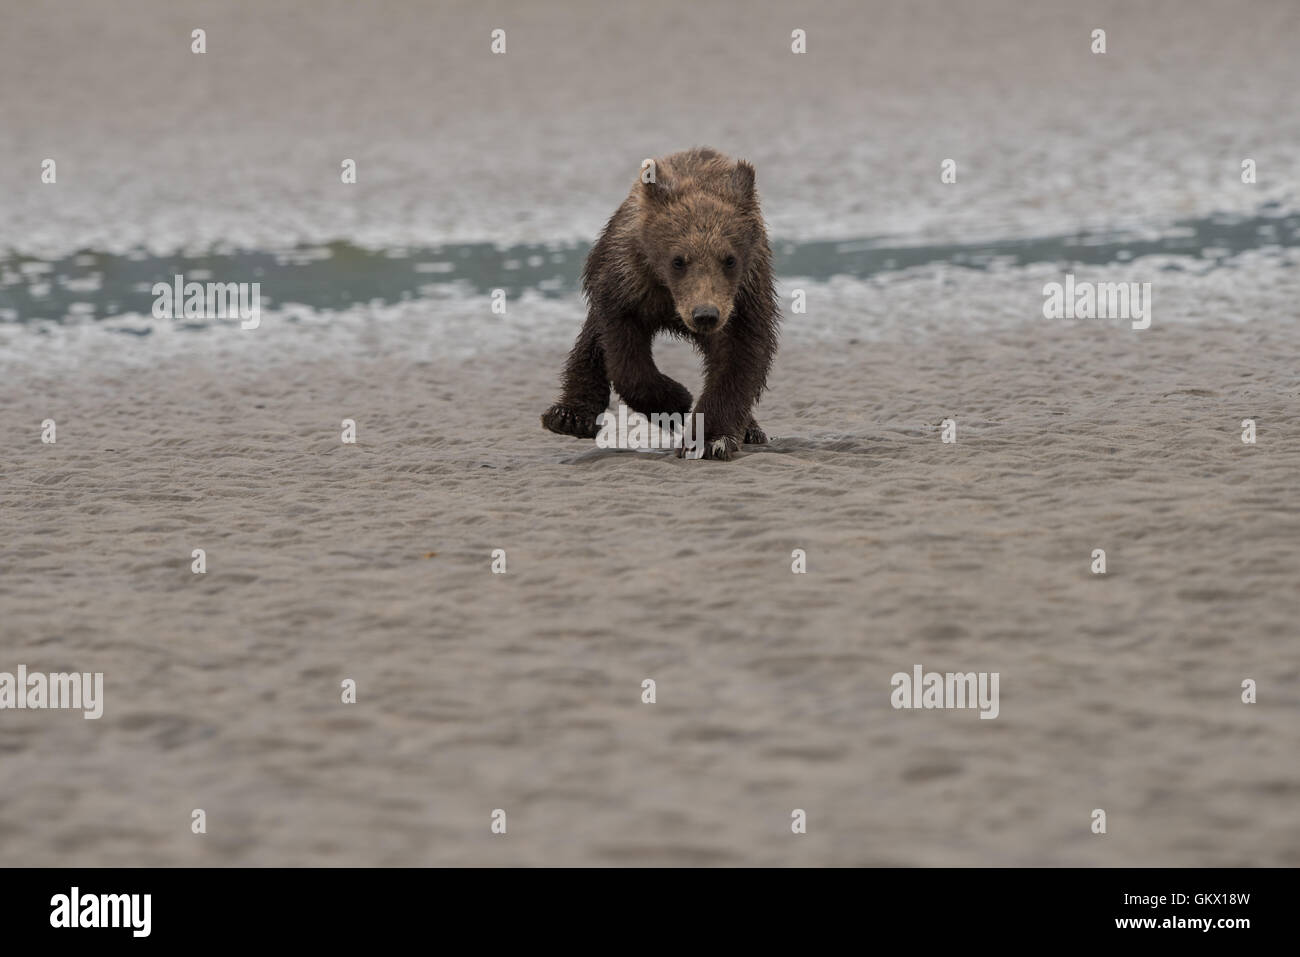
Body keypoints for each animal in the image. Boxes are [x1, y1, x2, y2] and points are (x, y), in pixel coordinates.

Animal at [541, 147, 780, 461]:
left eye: (729, 259)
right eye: (678, 260)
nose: (705, 315)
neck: (670, 298)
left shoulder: (742, 297)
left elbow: (740, 357)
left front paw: (711, 439)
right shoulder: (627, 284)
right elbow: (624, 357)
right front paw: (676, 399)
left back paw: (751, 429)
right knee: (592, 339)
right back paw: (570, 416)